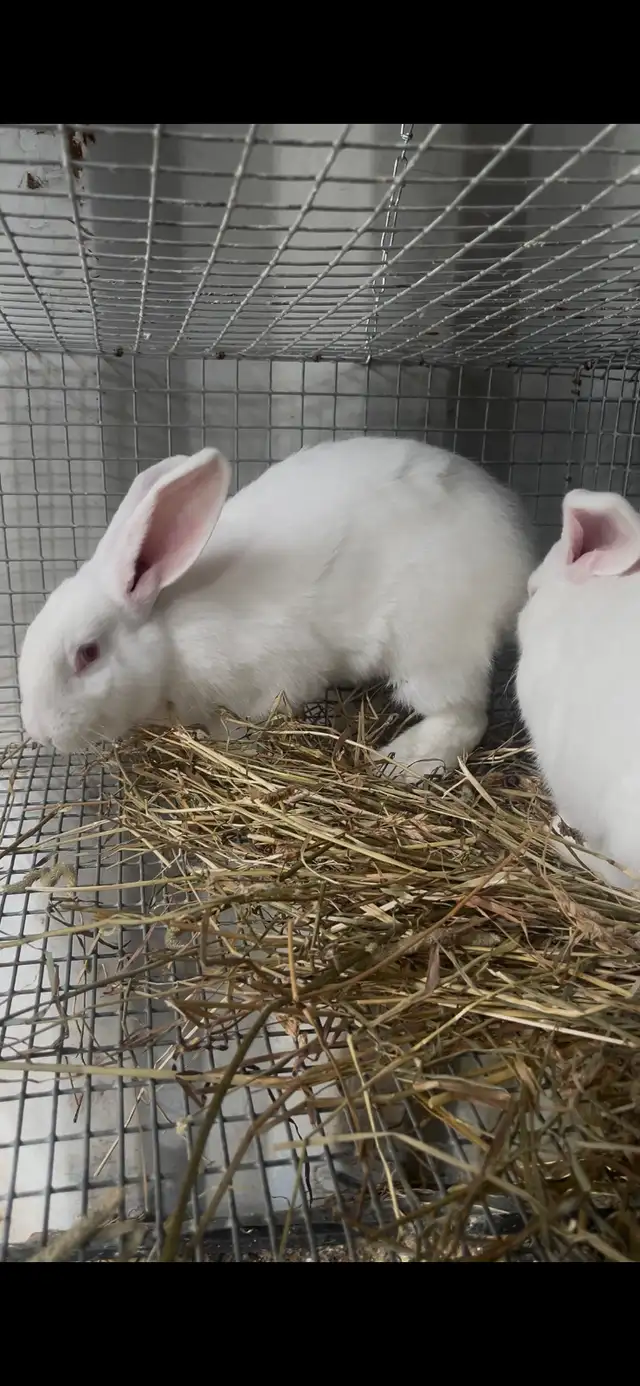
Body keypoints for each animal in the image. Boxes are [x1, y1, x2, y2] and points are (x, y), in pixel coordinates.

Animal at [18, 437, 533, 780]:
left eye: (88, 654)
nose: (39, 732)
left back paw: (400, 762)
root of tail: (519, 561)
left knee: (464, 716)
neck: (167, 637)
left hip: (431, 647)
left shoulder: (266, 680)